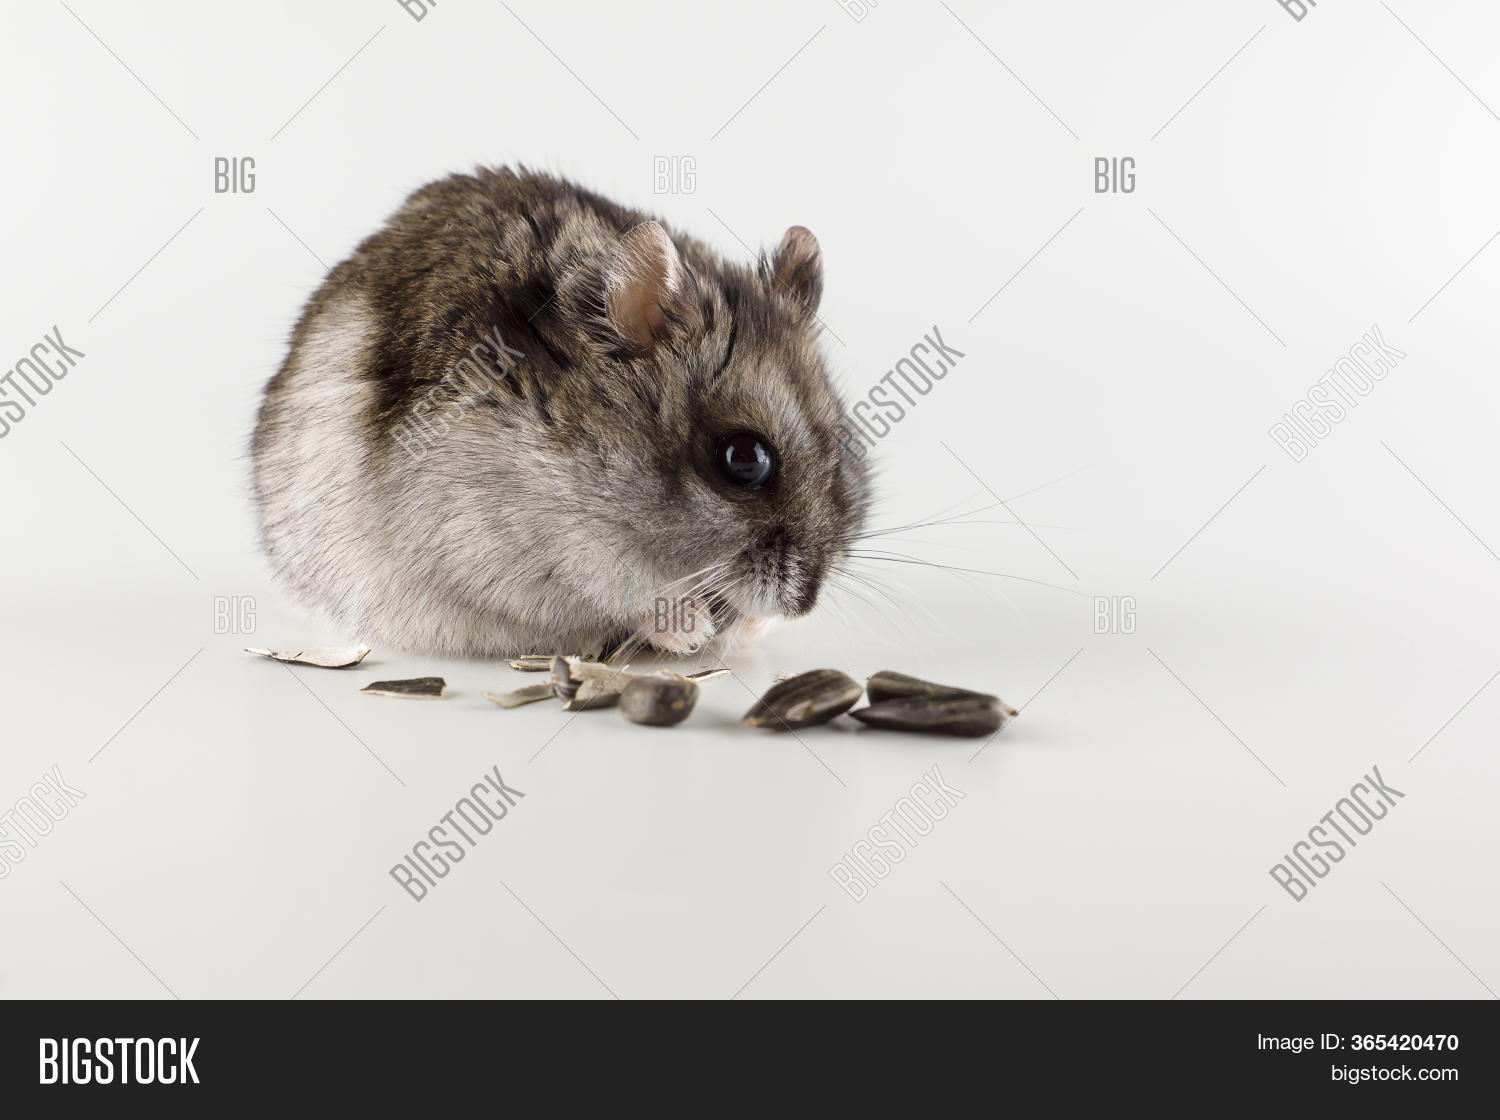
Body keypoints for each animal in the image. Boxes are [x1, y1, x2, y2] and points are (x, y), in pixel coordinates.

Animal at [251, 167, 871, 658]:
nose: (804, 606)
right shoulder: (501, 542)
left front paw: (747, 629)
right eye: (743, 458)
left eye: (842, 447)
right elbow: (624, 596)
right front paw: (690, 629)